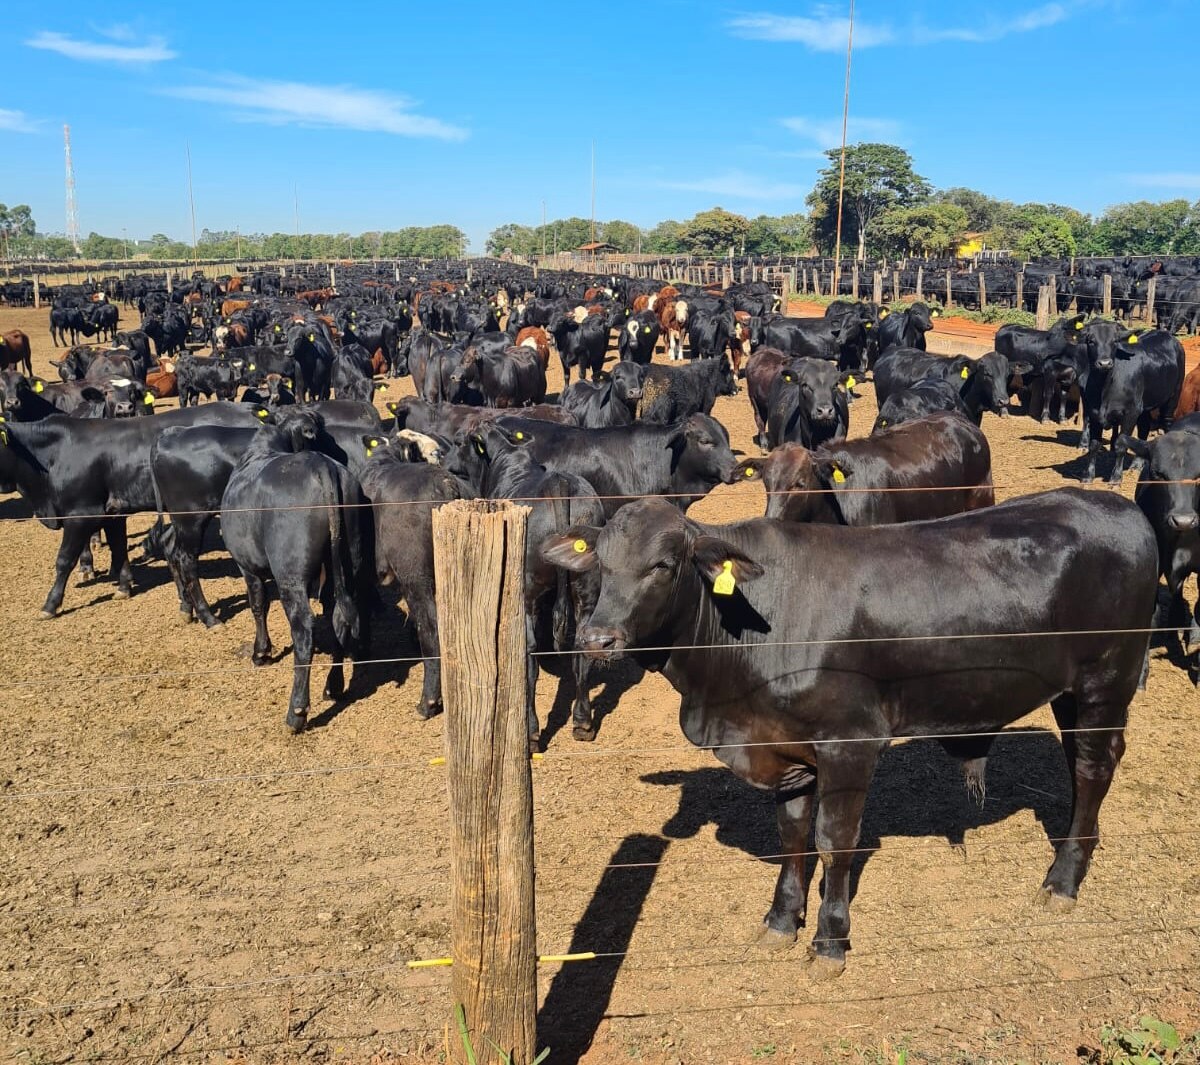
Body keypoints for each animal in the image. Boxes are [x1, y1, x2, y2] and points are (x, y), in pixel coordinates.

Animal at [542, 489, 1157, 974]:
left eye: (664, 565)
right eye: (599, 564)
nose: (597, 639)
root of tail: (1121, 506)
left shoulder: (850, 742)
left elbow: (834, 843)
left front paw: (828, 941)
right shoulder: (786, 747)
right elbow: (792, 837)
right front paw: (780, 921)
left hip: (1107, 681)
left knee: (1093, 768)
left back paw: (1063, 881)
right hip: (1072, 694)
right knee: (1080, 764)